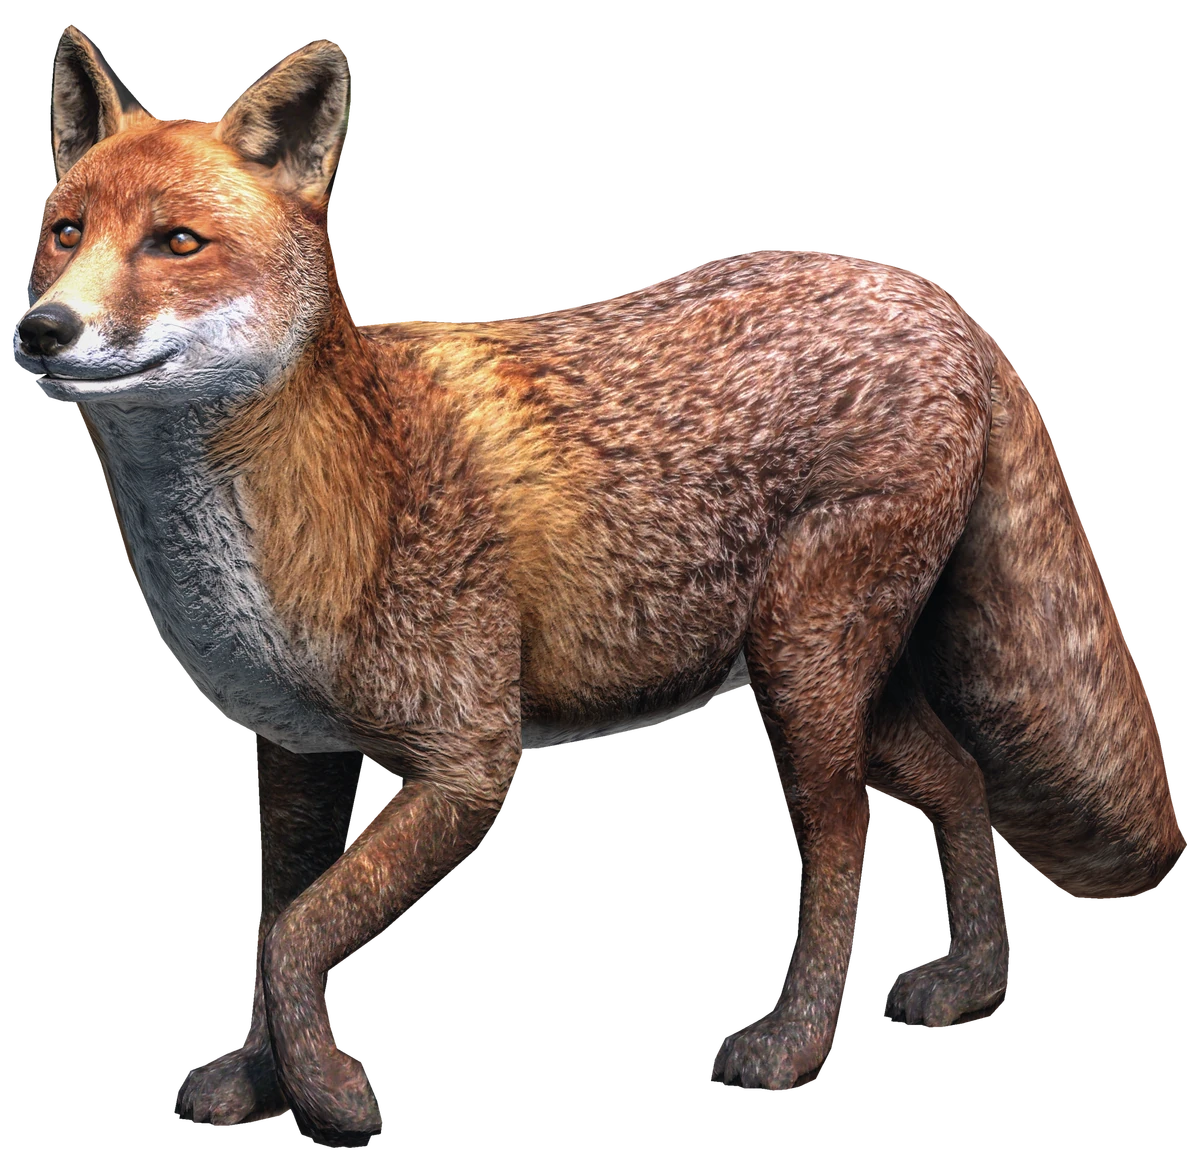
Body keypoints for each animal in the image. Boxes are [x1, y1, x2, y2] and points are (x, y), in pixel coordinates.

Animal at [11, 25, 1188, 1127]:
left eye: (177, 243)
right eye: (66, 232)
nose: (43, 328)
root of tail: (934, 296)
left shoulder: (469, 761)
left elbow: (296, 936)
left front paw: (333, 1098)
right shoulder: (297, 754)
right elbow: (269, 926)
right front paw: (263, 1080)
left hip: (801, 670)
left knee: (844, 837)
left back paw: (793, 1044)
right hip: (852, 676)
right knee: (961, 778)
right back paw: (976, 982)